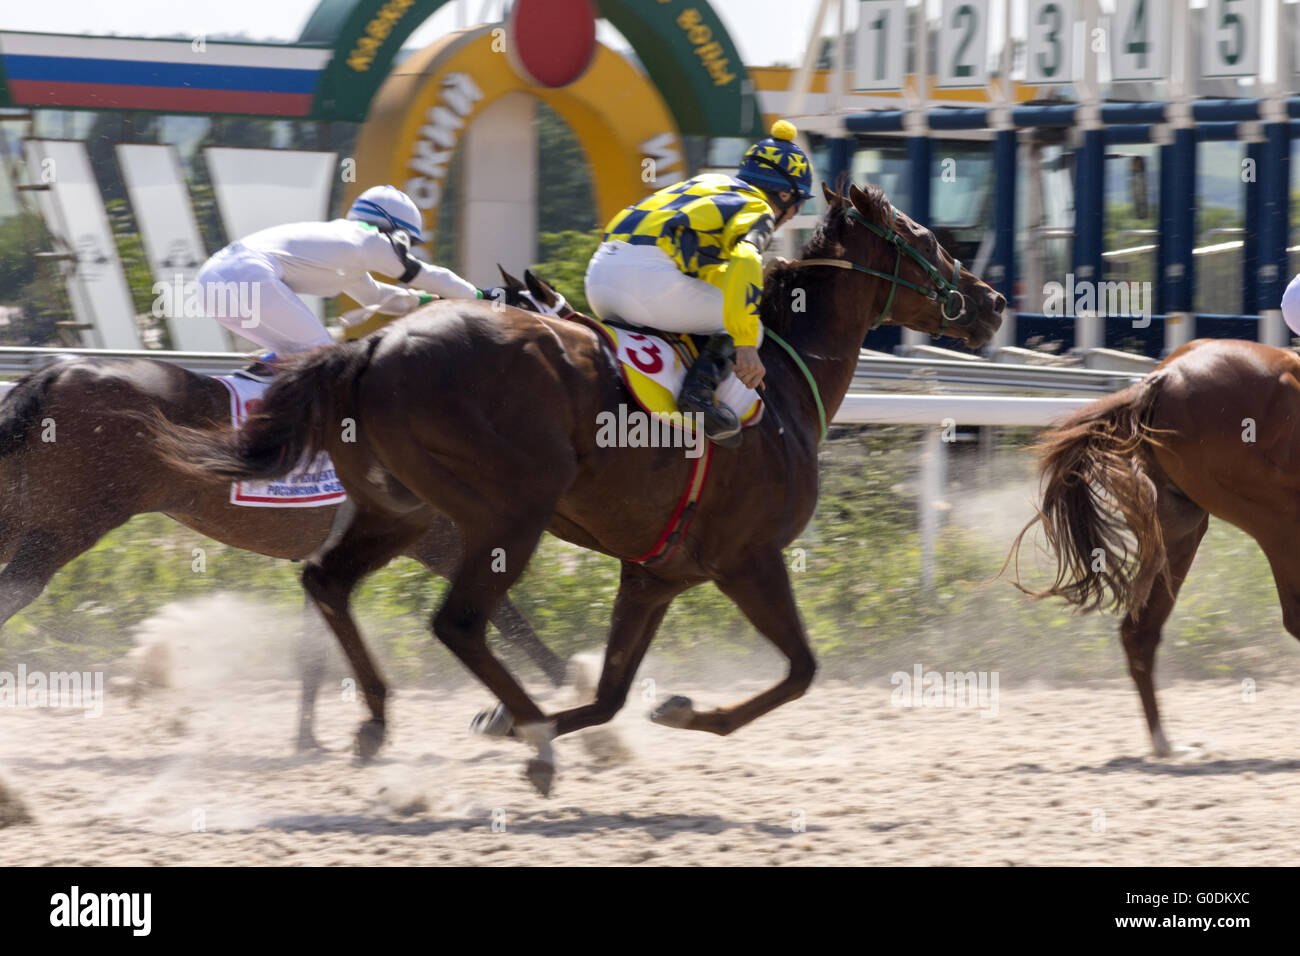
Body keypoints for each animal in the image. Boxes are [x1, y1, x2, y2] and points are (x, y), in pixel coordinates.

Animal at [0, 281, 566, 751]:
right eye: (561, 318)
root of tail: (58, 370)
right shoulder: (441, 542)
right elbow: (510, 620)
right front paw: (556, 690)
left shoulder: (335, 554)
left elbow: (313, 650)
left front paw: (310, 736)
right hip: (68, 525)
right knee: (17, 589)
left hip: (21, 513)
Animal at [148, 182, 1006, 794]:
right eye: (927, 242)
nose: (992, 302)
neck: (784, 388)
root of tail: (374, 350)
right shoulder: (748, 558)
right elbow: (799, 672)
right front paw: (668, 714)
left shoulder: (656, 573)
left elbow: (615, 693)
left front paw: (580, 717)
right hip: (511, 512)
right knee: (458, 622)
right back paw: (527, 744)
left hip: (402, 510)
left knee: (328, 583)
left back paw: (381, 725)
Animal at [1012, 336, 1300, 756]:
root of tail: (1162, 378)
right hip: (1277, 514)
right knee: (1295, 617)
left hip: (1182, 528)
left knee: (1139, 633)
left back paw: (1165, 743)